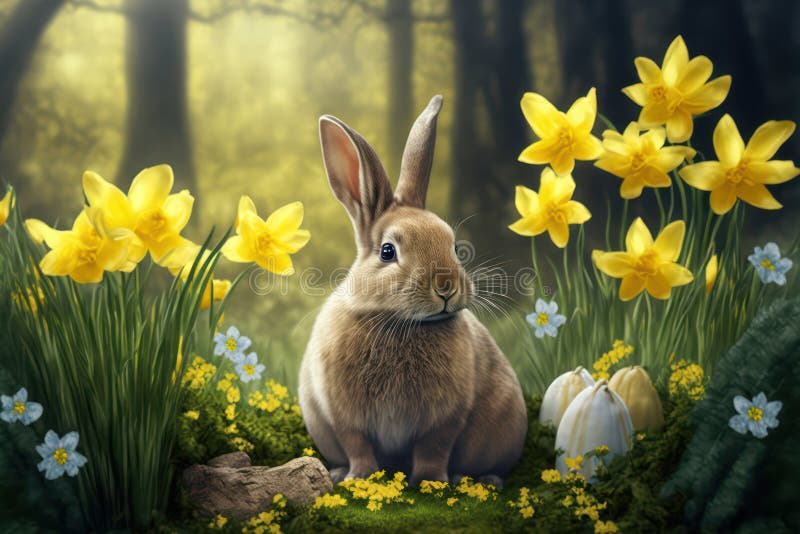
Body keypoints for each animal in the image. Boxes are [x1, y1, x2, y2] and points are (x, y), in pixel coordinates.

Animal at [298, 95, 527, 488]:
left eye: (454, 246)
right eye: (388, 252)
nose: (446, 287)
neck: (401, 322)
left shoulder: (444, 419)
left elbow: (433, 449)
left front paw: (432, 482)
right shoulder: (342, 414)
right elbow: (357, 445)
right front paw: (359, 477)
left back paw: (481, 480)